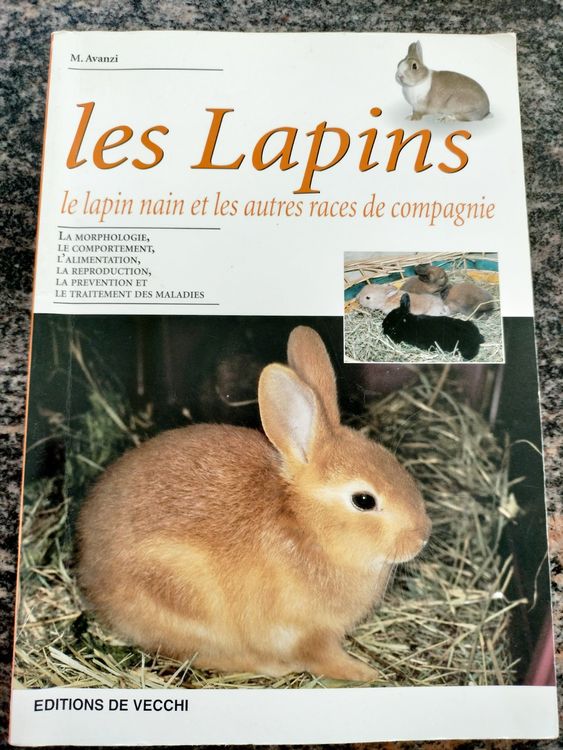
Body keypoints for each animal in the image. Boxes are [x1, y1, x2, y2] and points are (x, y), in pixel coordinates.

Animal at [77, 326, 431, 682]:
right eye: (364, 500)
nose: (423, 535)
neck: (306, 525)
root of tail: (89, 573)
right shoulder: (306, 634)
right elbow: (325, 658)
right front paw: (367, 674)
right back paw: (272, 666)